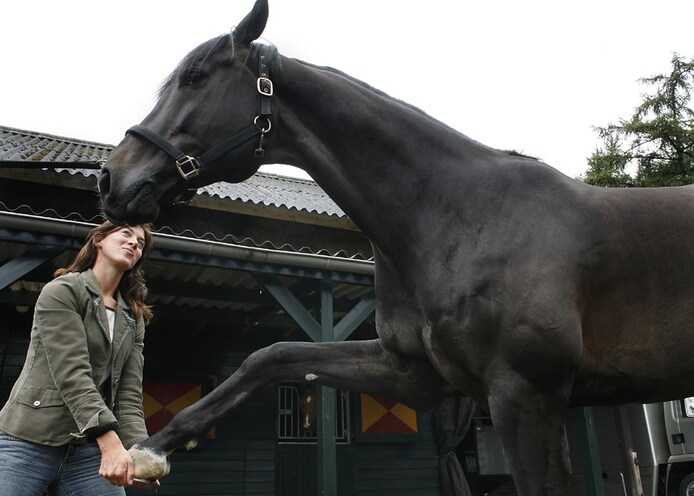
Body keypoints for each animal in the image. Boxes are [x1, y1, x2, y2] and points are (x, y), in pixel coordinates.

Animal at [98, 1, 694, 494]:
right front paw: (150, 449)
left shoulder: (527, 395)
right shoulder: (413, 374)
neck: (461, 216)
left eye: (195, 78)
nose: (111, 180)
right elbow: (271, 356)